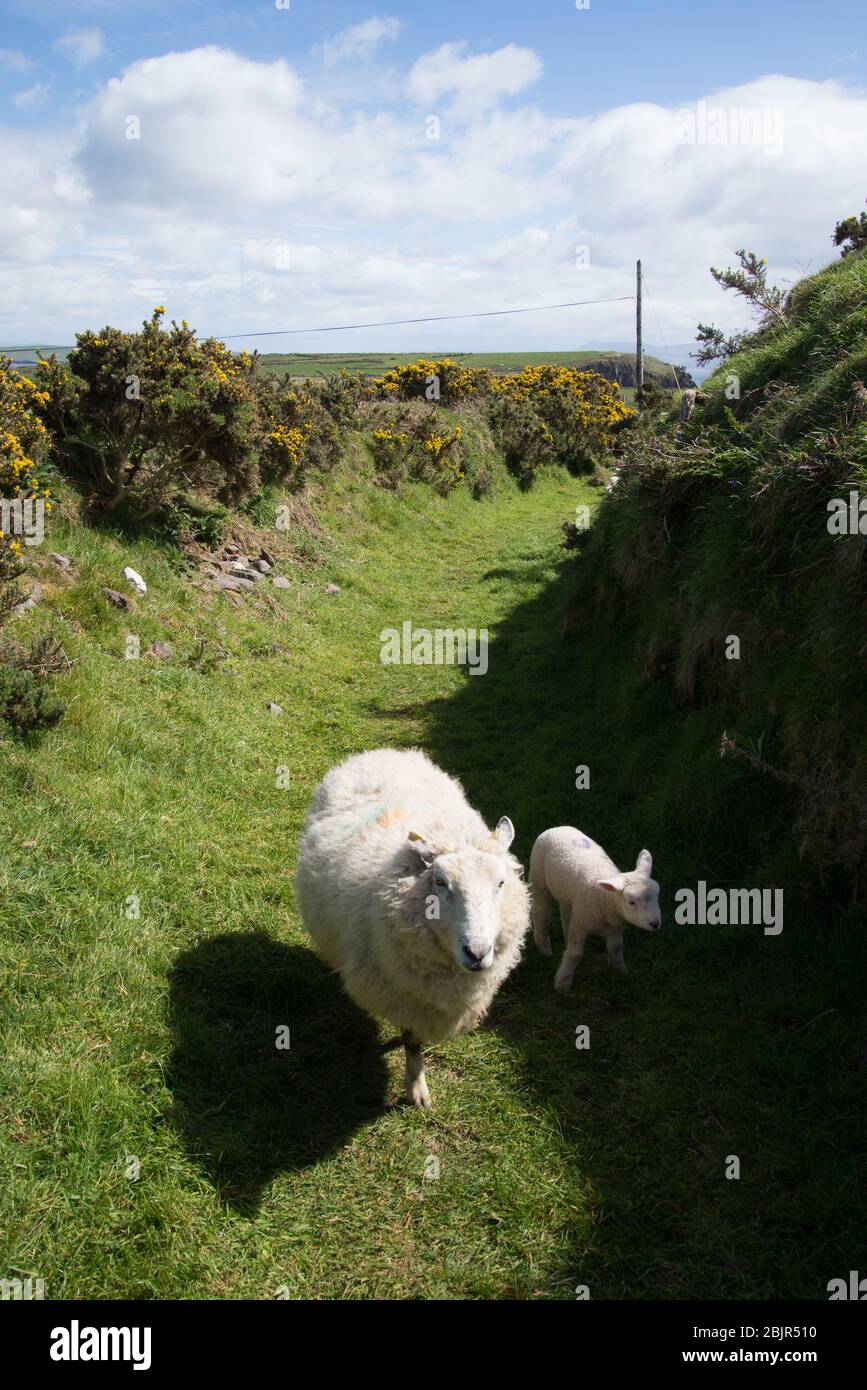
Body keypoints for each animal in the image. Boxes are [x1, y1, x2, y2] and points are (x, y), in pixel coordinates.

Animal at [295, 748, 530, 1107]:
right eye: (440, 882)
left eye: (501, 883)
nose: (476, 953)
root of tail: (382, 752)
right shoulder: (405, 995)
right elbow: (412, 1042)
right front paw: (417, 1090)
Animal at [530, 826, 660, 991]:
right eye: (631, 902)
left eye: (657, 896)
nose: (655, 923)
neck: (606, 898)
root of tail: (558, 828)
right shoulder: (581, 923)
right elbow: (575, 953)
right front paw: (563, 983)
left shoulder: (615, 926)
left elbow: (616, 947)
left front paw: (620, 970)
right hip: (539, 878)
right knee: (540, 911)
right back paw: (545, 949)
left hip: (569, 897)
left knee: (565, 911)